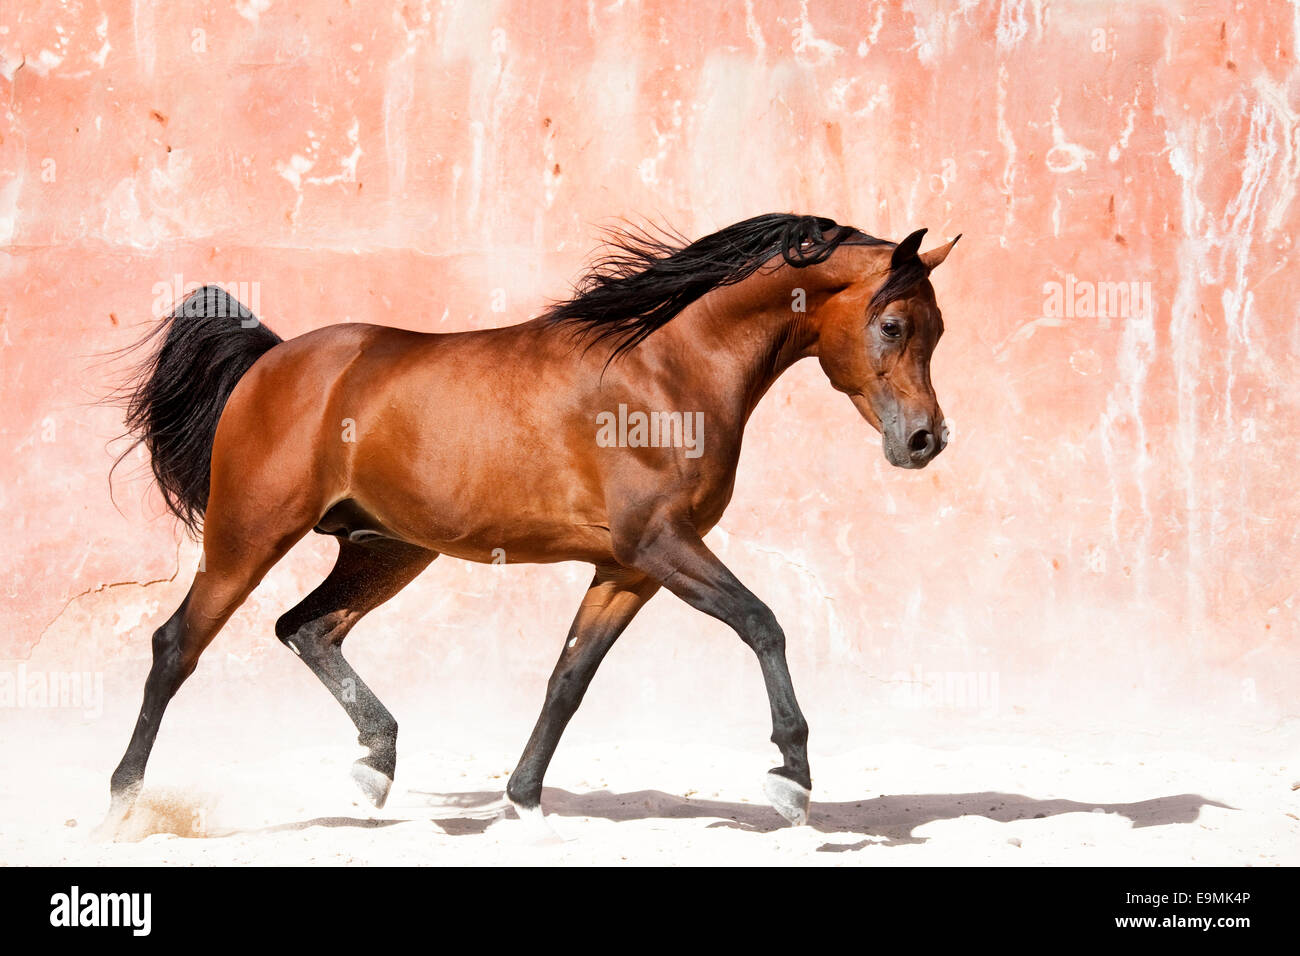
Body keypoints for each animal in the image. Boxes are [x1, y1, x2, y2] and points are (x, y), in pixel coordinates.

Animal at [103, 213, 958, 834]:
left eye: (938, 329)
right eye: (892, 325)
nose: (925, 441)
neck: (666, 374)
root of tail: (273, 361)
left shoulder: (629, 567)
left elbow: (568, 679)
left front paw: (523, 799)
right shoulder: (661, 544)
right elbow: (763, 623)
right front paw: (791, 781)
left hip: (388, 549)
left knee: (307, 627)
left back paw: (374, 768)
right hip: (247, 538)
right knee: (176, 647)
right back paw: (123, 801)